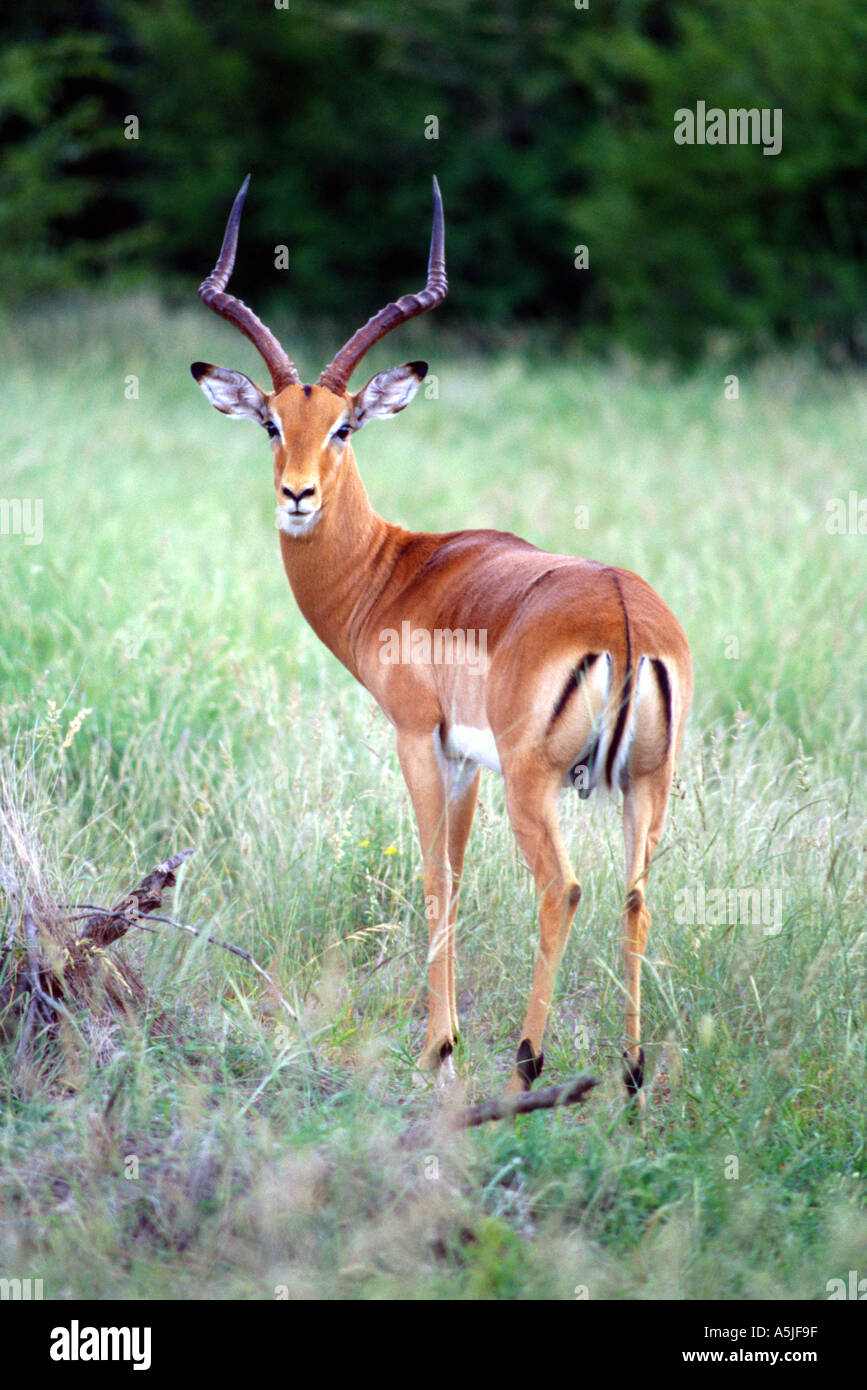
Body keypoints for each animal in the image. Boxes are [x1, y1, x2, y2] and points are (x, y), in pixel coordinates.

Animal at [191, 176, 693, 1101]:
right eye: (272, 423)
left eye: (345, 425)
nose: (297, 495)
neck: (396, 569)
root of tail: (622, 617)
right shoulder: (465, 758)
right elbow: (457, 879)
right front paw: (444, 1040)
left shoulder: (418, 736)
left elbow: (432, 876)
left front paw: (437, 1050)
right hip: (647, 784)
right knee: (636, 896)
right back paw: (632, 1071)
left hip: (536, 783)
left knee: (562, 889)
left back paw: (528, 1062)